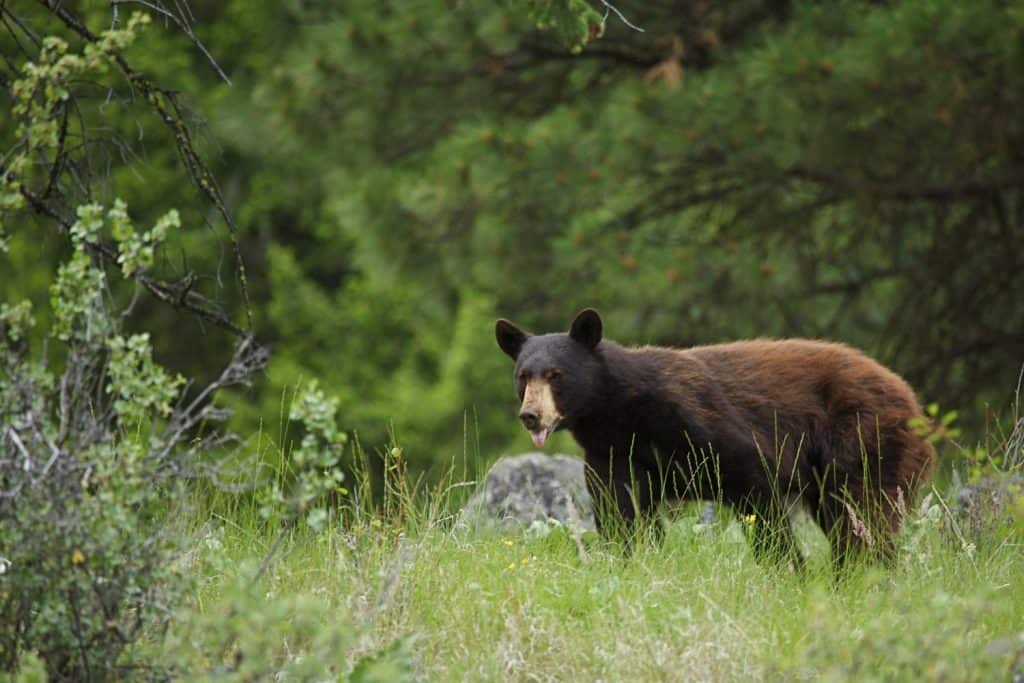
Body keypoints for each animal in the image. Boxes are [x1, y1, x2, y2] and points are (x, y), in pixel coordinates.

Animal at [495, 308, 935, 568]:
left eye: (556, 375)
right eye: (523, 376)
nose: (531, 416)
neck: (621, 411)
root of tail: (911, 397)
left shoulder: (703, 423)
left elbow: (756, 487)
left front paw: (787, 567)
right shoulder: (612, 453)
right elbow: (620, 510)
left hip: (863, 437)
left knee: (862, 512)